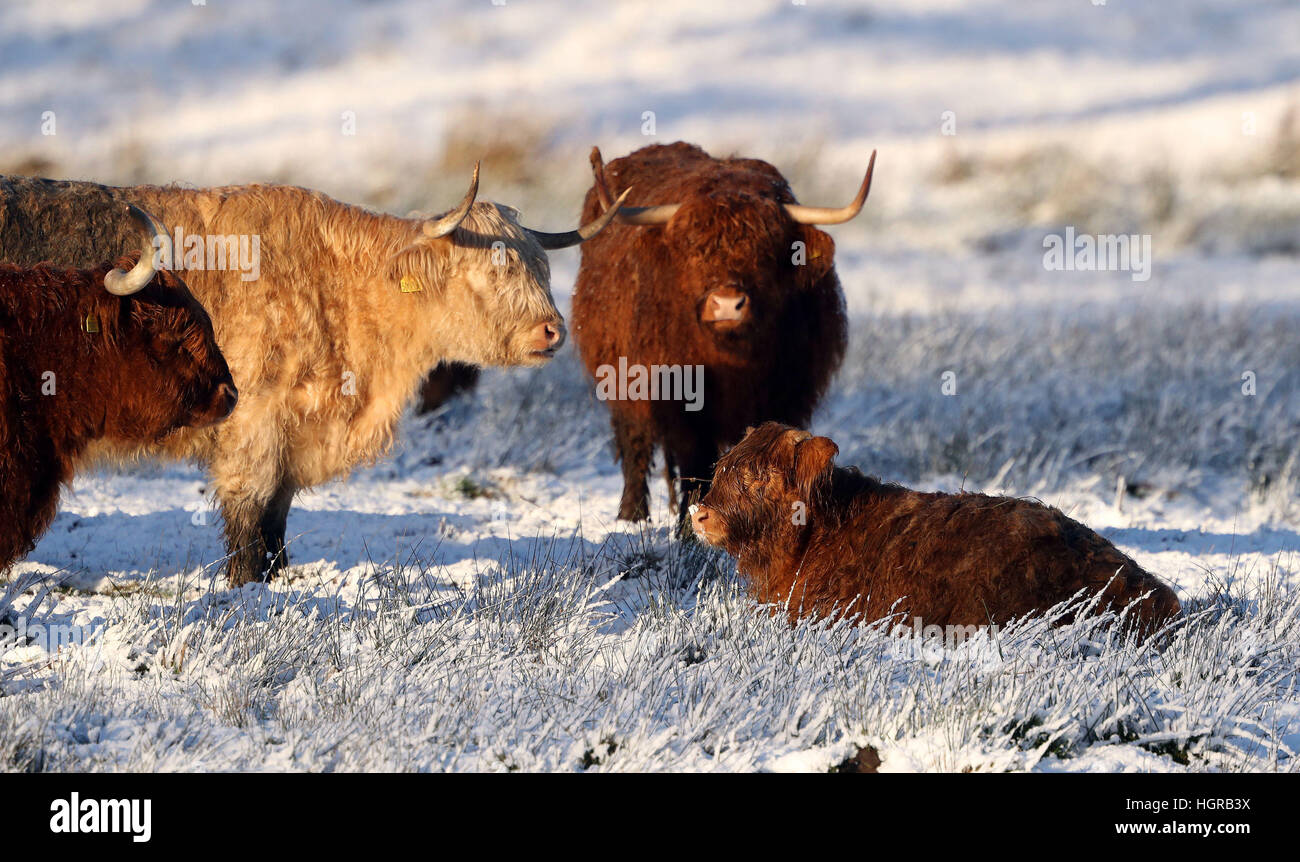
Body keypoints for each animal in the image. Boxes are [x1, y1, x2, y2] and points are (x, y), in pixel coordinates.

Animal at [572, 142, 872, 533]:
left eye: (765, 251)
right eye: (693, 249)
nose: (728, 304)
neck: (734, 359)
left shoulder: (788, 394)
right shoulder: (681, 402)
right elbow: (694, 463)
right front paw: (687, 530)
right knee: (635, 448)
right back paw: (631, 517)